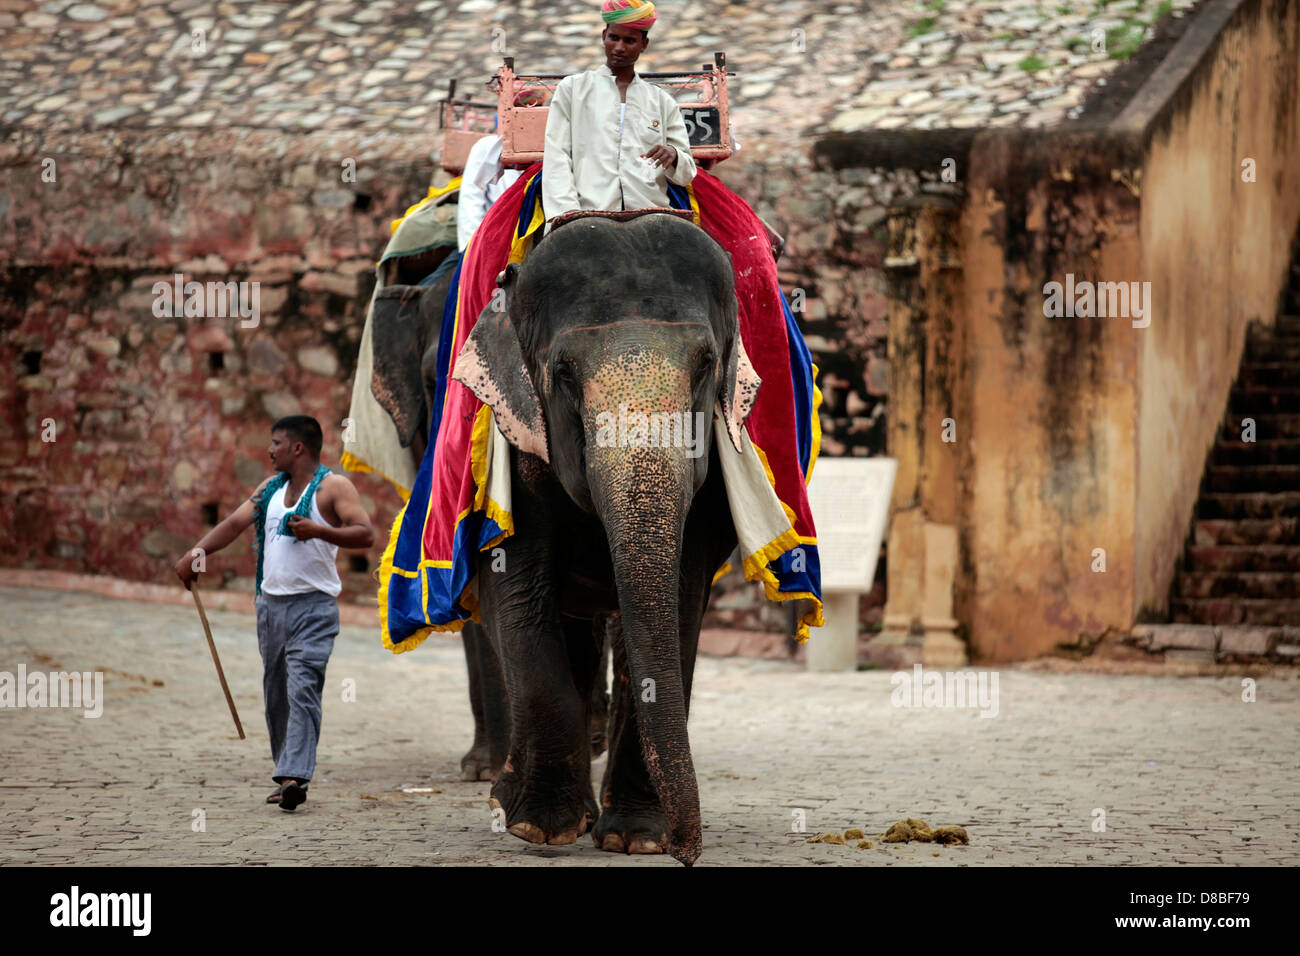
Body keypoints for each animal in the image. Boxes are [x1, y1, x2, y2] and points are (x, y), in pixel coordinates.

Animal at [449, 210, 754, 865]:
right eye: (563, 372)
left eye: (705, 364)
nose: (689, 851)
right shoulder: (514, 449)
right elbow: (518, 594)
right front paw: (543, 828)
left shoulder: (712, 476)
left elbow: (679, 606)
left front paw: (637, 837)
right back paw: (509, 800)